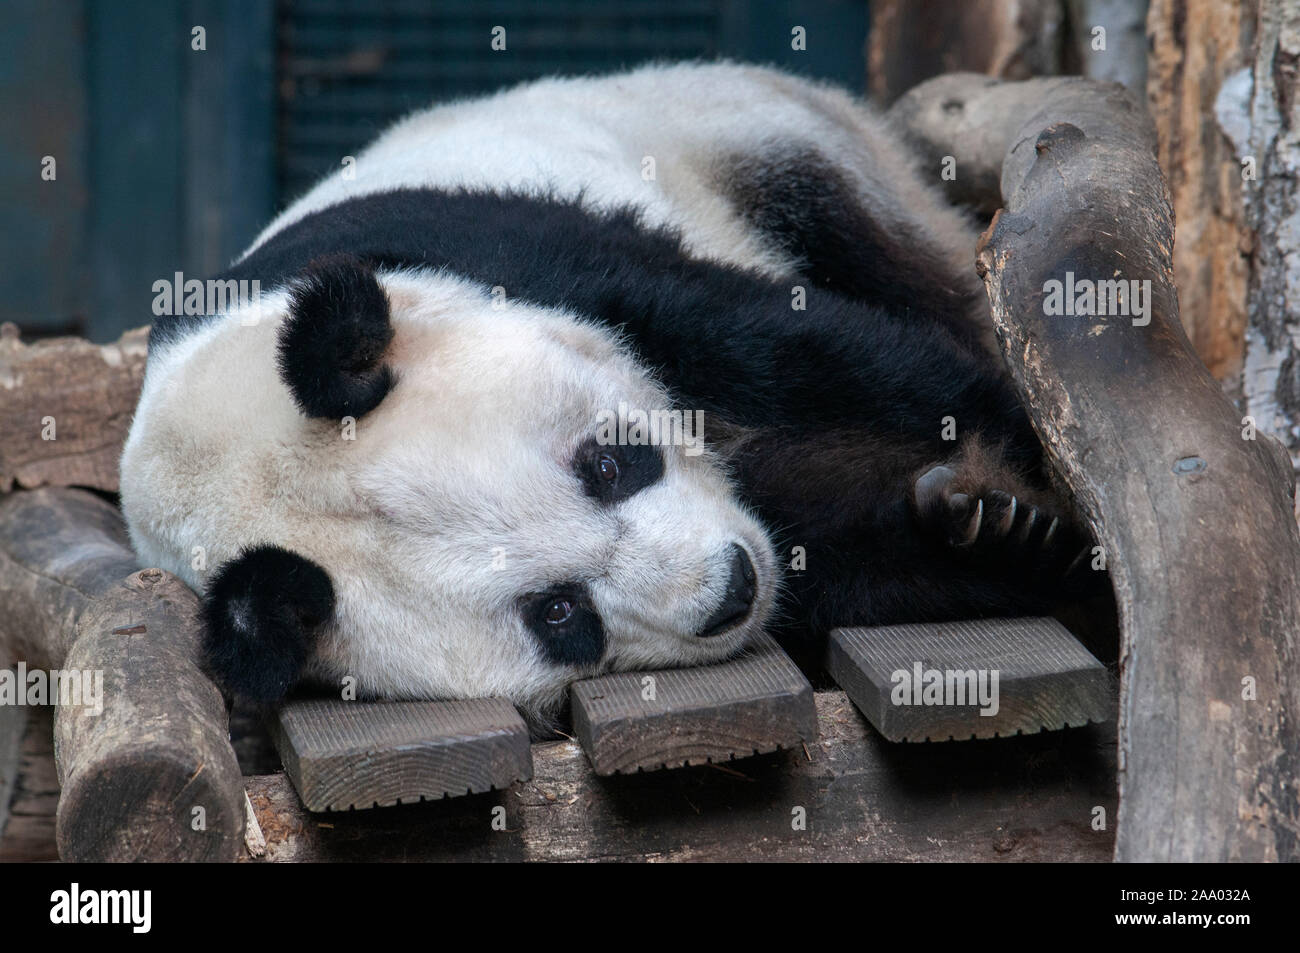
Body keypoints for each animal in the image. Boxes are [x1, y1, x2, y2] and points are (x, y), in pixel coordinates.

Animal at [120, 62, 1095, 722]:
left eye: (606, 463)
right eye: (560, 614)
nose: (731, 588)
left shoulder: (500, 255)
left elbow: (804, 350)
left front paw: (1038, 484)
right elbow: (824, 542)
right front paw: (996, 528)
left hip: (761, 145)